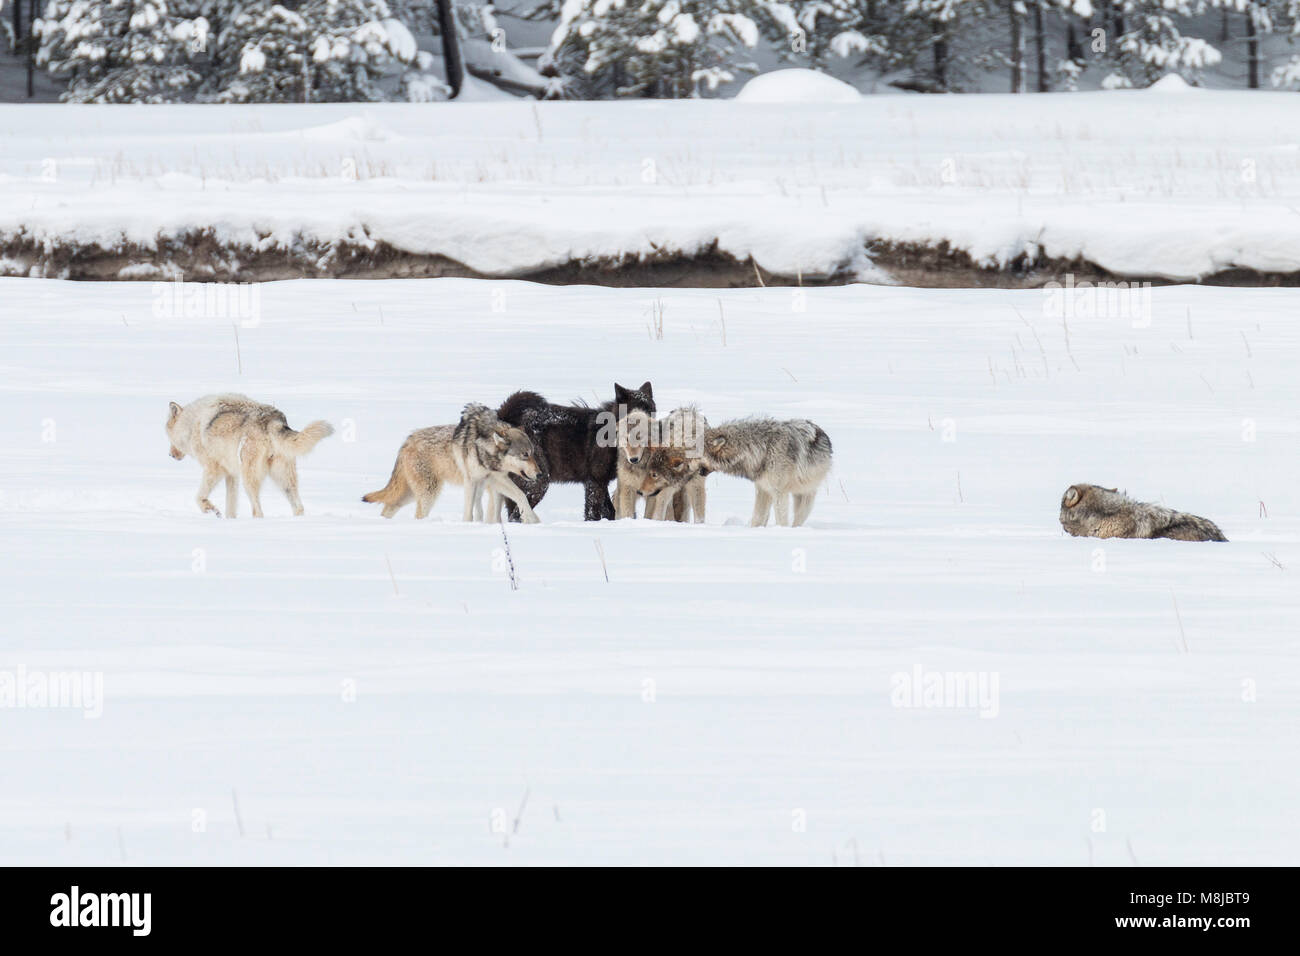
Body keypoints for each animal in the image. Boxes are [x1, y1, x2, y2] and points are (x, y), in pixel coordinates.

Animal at [166, 393, 333, 518]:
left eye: (168, 436)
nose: (170, 455)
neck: (191, 424)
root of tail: (273, 420)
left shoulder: (214, 469)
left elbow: (199, 497)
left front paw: (211, 510)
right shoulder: (231, 475)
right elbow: (230, 507)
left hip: (249, 479)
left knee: (258, 512)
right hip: (283, 480)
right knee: (298, 507)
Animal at [363, 404, 541, 522]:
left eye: (533, 454)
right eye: (525, 455)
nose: (540, 474)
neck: (485, 452)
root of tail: (407, 441)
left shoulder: (495, 480)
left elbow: (520, 496)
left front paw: (532, 520)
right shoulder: (472, 482)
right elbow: (469, 513)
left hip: (412, 494)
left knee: (388, 507)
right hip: (429, 493)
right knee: (417, 514)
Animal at [496, 382, 656, 521]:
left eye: (650, 409)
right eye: (634, 410)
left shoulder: (600, 482)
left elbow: (610, 512)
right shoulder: (594, 481)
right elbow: (593, 512)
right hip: (539, 483)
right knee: (516, 516)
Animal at [702, 418, 832, 527]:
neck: (763, 449)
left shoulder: (779, 493)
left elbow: (781, 518)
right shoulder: (762, 489)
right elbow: (758, 516)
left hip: (806, 495)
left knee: (798, 518)